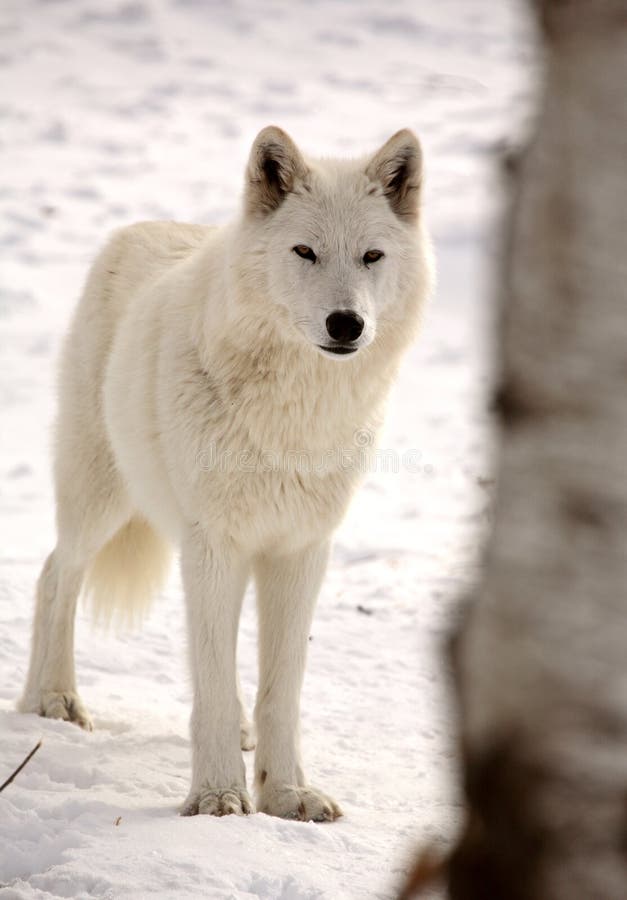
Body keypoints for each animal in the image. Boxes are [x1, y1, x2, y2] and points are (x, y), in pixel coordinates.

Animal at [19, 126, 433, 821]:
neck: (294, 418)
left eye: (371, 256)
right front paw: (216, 796)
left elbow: (281, 691)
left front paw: (287, 793)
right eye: (305, 252)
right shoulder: (214, 543)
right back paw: (51, 701)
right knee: (56, 575)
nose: (346, 324)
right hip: (101, 499)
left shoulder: (300, 550)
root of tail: (142, 226)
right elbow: (211, 683)